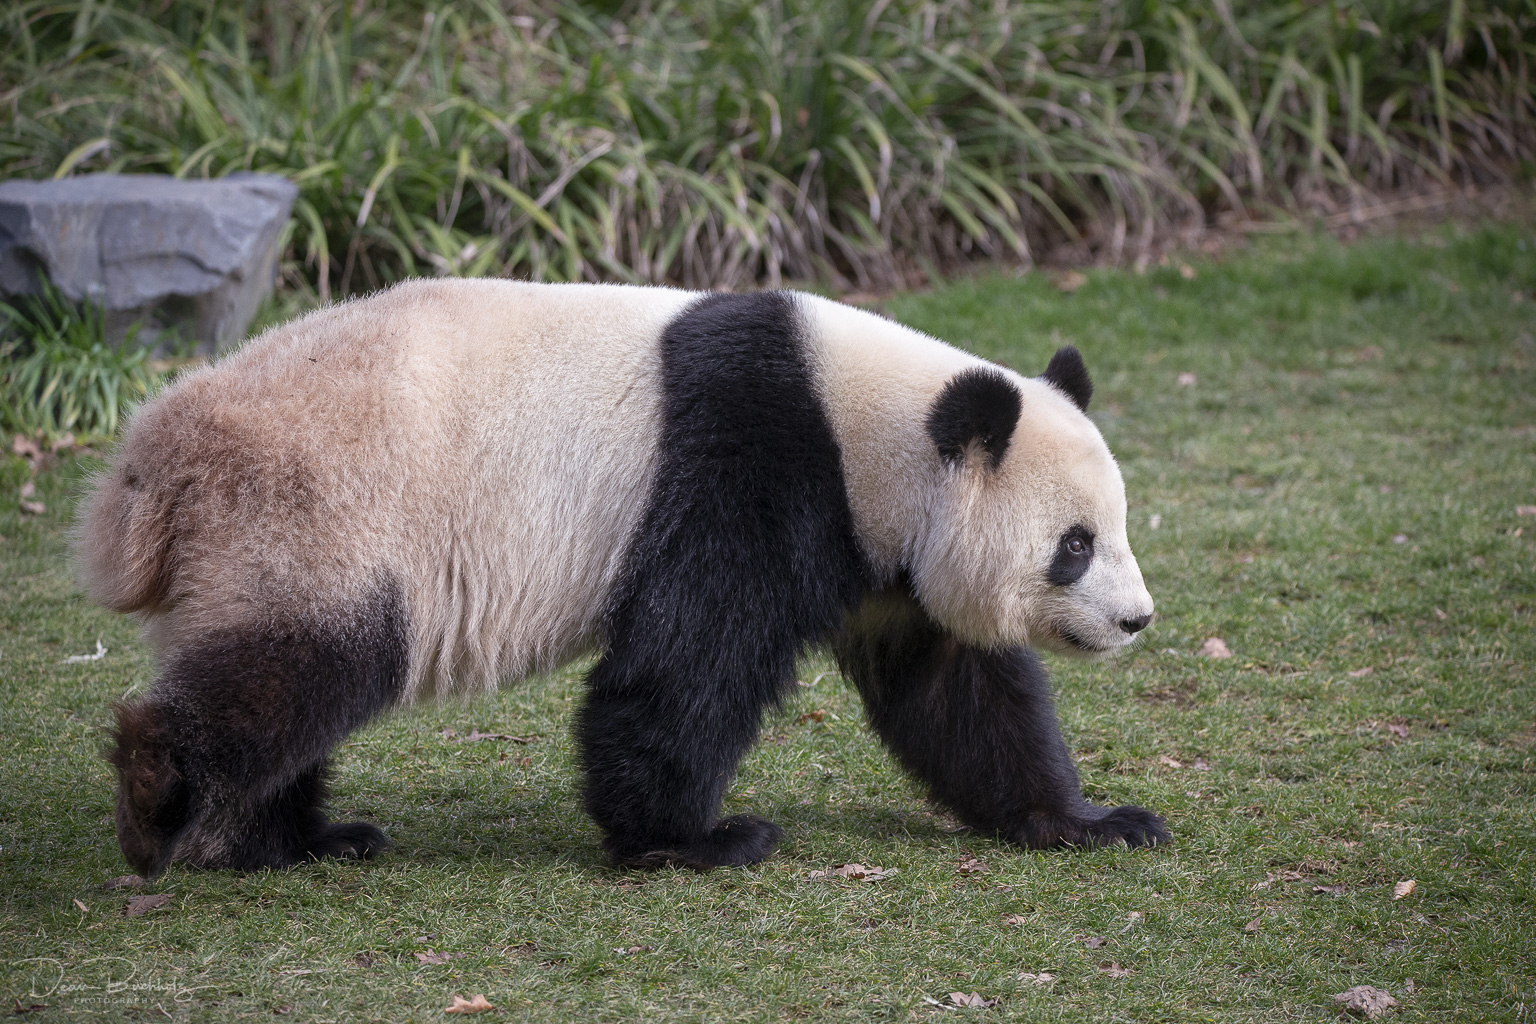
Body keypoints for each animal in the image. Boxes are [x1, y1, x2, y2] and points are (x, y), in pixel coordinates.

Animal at [78, 280, 1165, 878]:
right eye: (1074, 545)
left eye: (1115, 528)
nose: (1136, 620)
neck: (872, 420)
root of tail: (151, 463)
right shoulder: (752, 457)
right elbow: (687, 659)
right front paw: (694, 839)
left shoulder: (889, 555)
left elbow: (957, 692)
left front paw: (1087, 822)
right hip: (316, 512)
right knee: (301, 664)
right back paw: (156, 788)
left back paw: (291, 842)